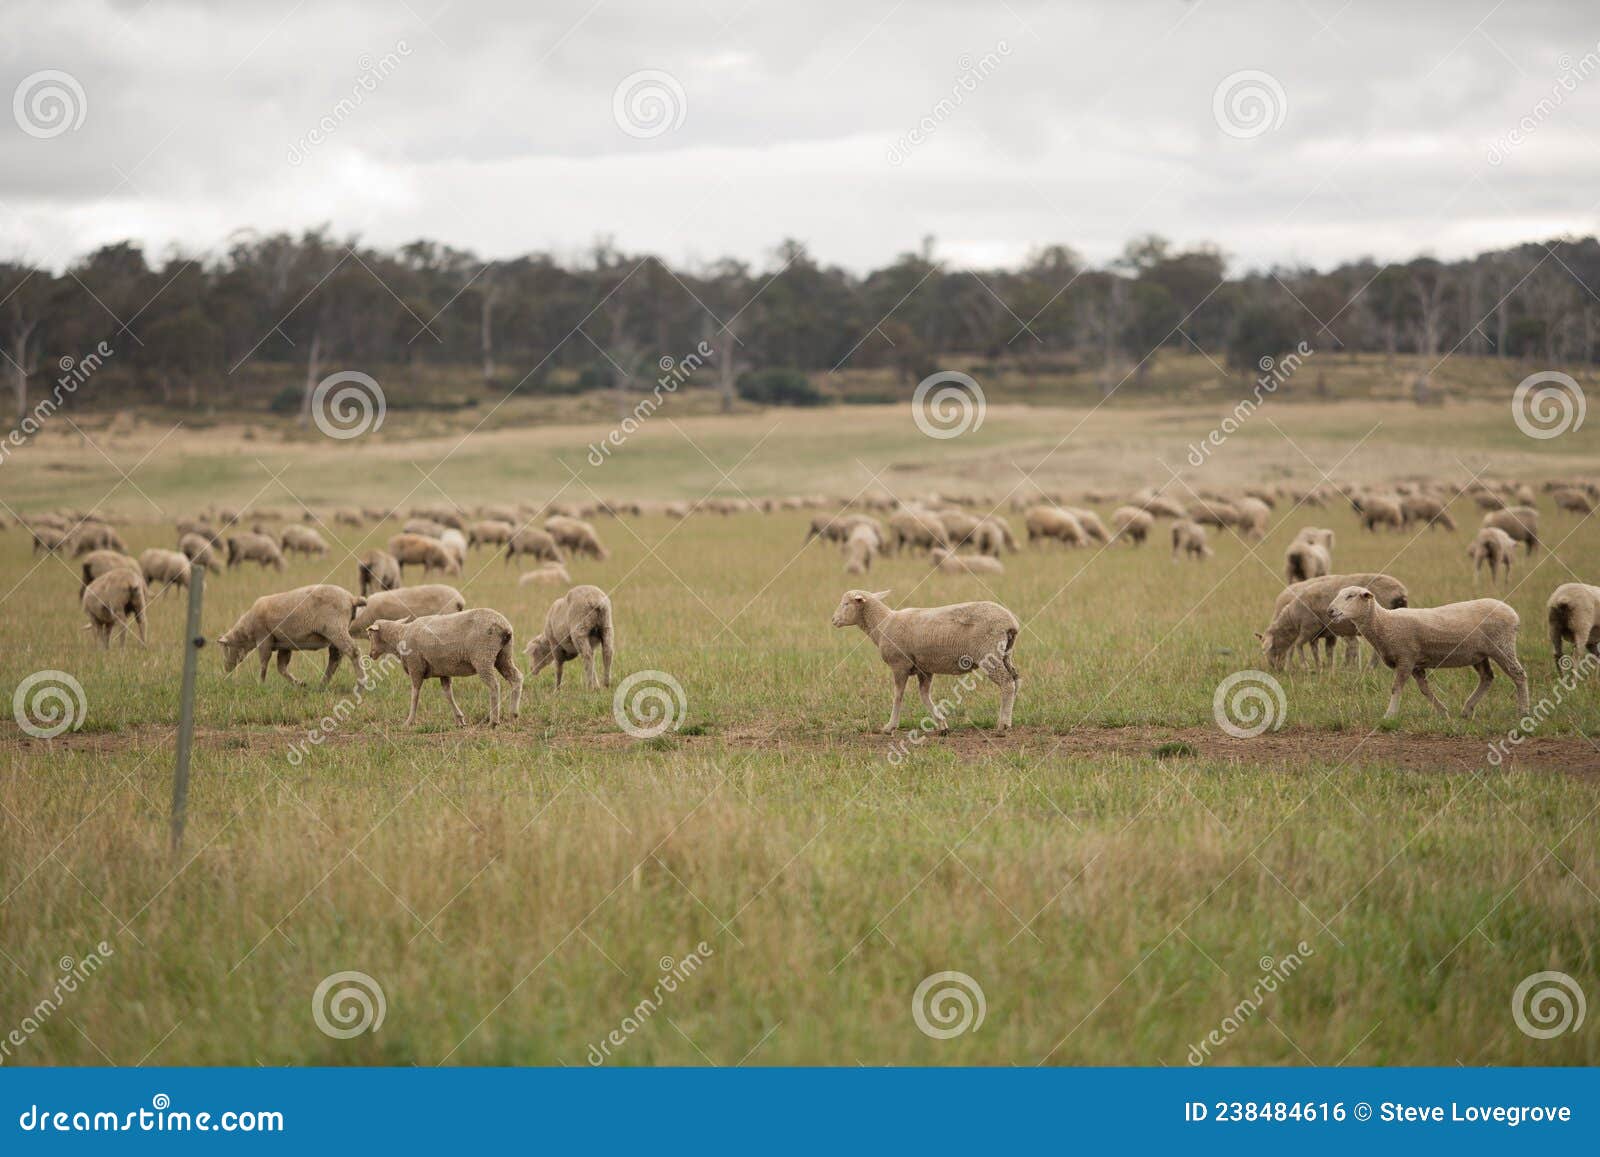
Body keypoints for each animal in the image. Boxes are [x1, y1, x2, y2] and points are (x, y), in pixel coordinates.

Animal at [216, 584, 366, 685]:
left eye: (225, 649)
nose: (226, 669)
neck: (246, 631)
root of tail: (351, 598)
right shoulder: (284, 644)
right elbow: (281, 667)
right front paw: (299, 683)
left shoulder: (264, 638)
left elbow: (264, 662)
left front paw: (260, 683)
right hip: (337, 631)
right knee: (335, 658)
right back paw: (322, 684)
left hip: (335, 628)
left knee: (353, 651)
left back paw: (361, 682)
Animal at [368, 609, 523, 727]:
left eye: (370, 635)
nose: (370, 654)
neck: (400, 636)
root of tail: (505, 627)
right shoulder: (443, 670)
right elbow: (448, 694)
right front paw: (460, 719)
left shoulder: (415, 667)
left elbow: (415, 695)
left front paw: (409, 721)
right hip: (503, 656)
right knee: (516, 678)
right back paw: (513, 715)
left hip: (483, 657)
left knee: (494, 685)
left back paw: (494, 721)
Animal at [829, 589, 1020, 735]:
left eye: (846, 604)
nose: (833, 620)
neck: (882, 624)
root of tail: (1011, 623)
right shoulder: (924, 668)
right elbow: (924, 695)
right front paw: (942, 724)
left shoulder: (899, 665)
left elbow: (898, 696)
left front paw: (890, 726)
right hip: (1005, 654)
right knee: (1015, 680)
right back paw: (1009, 718)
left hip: (989, 653)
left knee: (1007, 683)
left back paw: (1003, 725)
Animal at [1257, 572, 1409, 671]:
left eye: (1271, 648)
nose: (1275, 669)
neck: (1292, 616)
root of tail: (1400, 593)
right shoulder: (1324, 634)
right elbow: (1323, 651)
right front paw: (1324, 668)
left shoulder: (1308, 628)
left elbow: (1296, 645)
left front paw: (1303, 667)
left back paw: (1368, 668)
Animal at [1327, 586, 1529, 719]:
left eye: (1350, 596)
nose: (1330, 611)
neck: (1384, 623)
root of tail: (1514, 614)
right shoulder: (1416, 664)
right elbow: (1424, 690)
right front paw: (1443, 712)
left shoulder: (1406, 657)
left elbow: (1396, 688)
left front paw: (1389, 715)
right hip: (1479, 653)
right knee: (1487, 677)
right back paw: (1467, 710)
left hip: (1502, 646)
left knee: (1518, 675)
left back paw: (1523, 711)